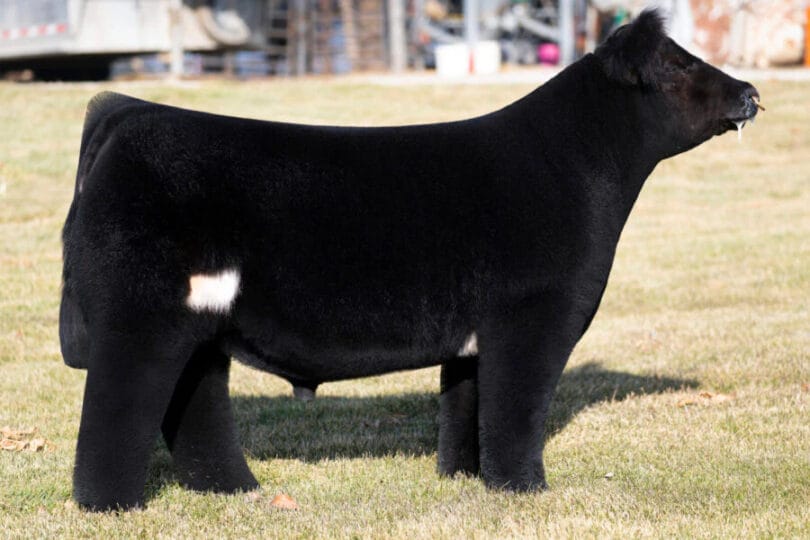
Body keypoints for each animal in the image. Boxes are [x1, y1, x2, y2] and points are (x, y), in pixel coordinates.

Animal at [59, 10, 761, 510]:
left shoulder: (477, 334)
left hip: (201, 325)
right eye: (676, 66)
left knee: (194, 401)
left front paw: (464, 479)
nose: (751, 92)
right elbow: (517, 410)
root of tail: (128, 112)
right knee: (117, 406)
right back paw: (113, 507)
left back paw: (237, 492)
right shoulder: (535, 318)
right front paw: (525, 491)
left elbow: (467, 406)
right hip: (140, 318)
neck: (573, 164)